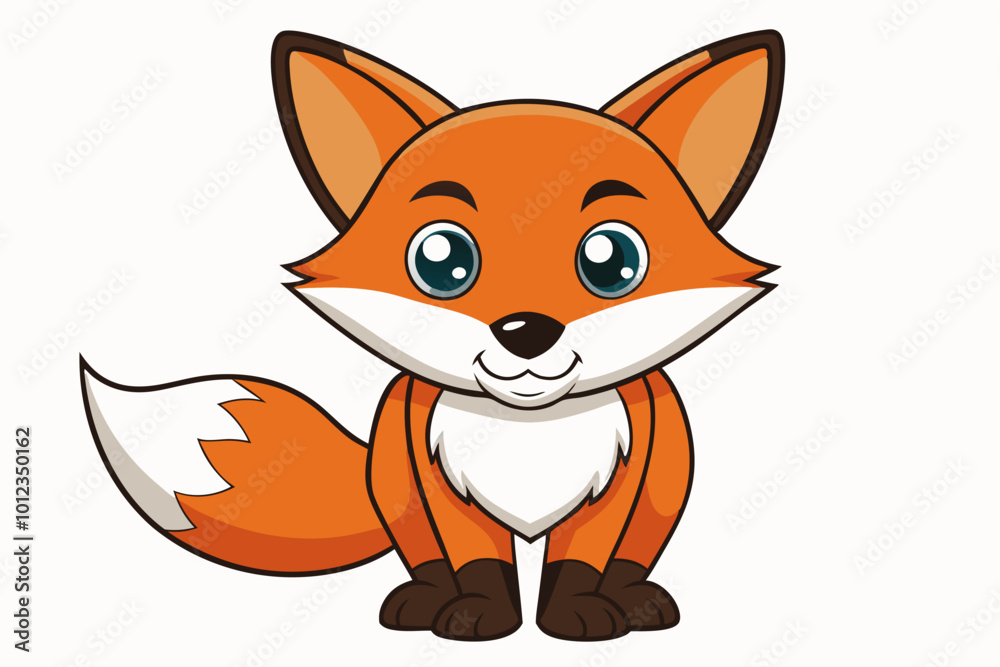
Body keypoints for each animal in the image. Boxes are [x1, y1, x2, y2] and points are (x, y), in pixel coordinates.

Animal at [81, 30, 784, 641]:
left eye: (612, 262)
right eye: (442, 261)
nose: (526, 331)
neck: (528, 426)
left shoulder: (625, 476)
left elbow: (580, 561)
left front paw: (577, 612)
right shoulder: (436, 478)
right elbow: (477, 561)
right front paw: (479, 613)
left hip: (667, 481)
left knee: (635, 555)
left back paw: (635, 596)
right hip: (394, 479)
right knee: (422, 556)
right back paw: (424, 596)